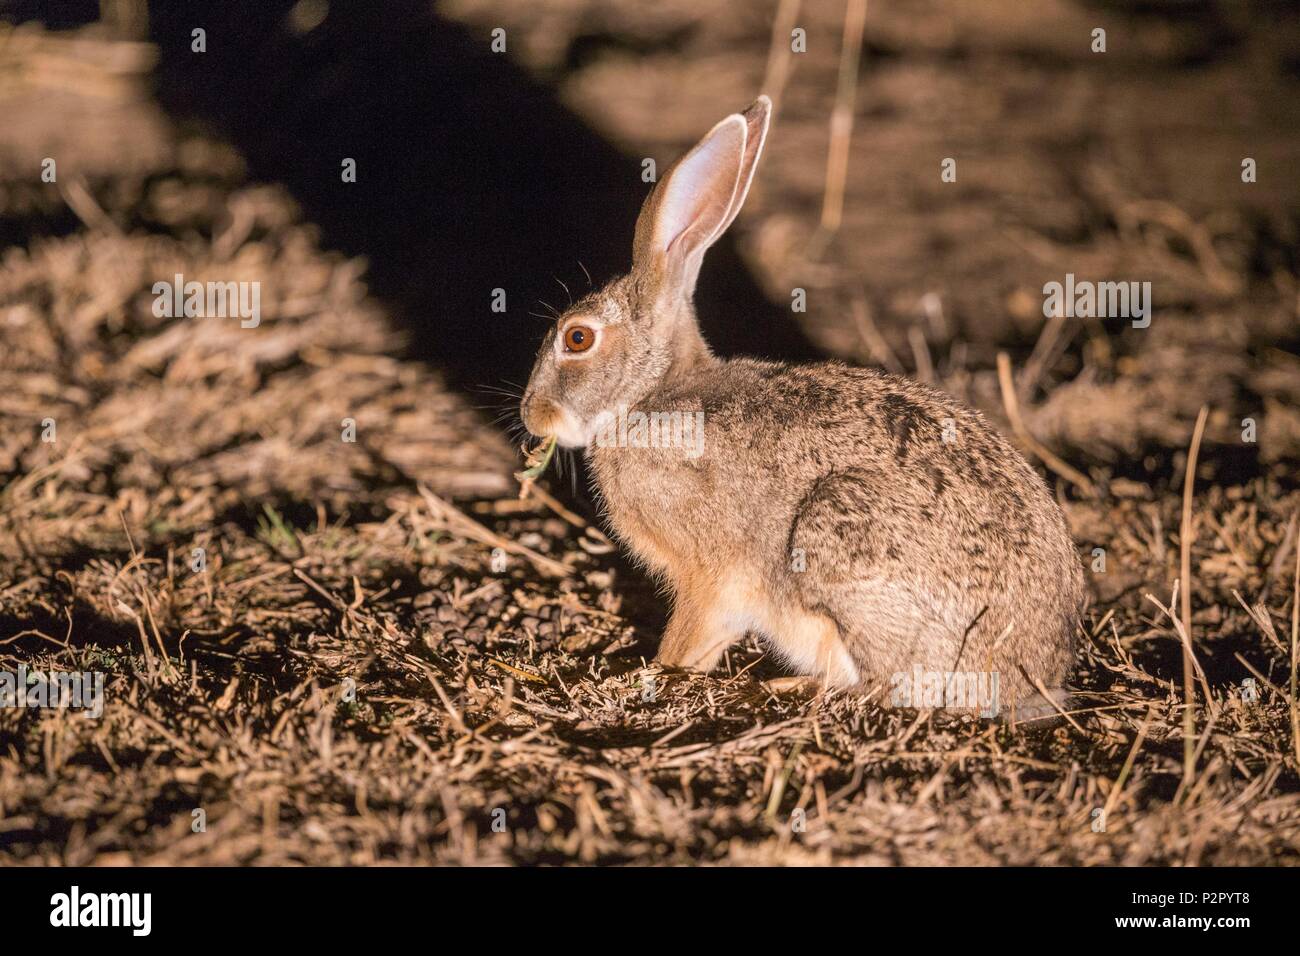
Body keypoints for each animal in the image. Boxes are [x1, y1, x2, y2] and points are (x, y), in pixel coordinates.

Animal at [521, 95, 1085, 719]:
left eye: (577, 339)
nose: (530, 414)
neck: (647, 395)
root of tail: (1033, 677)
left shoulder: (708, 572)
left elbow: (695, 630)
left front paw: (655, 671)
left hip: (835, 538)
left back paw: (784, 687)